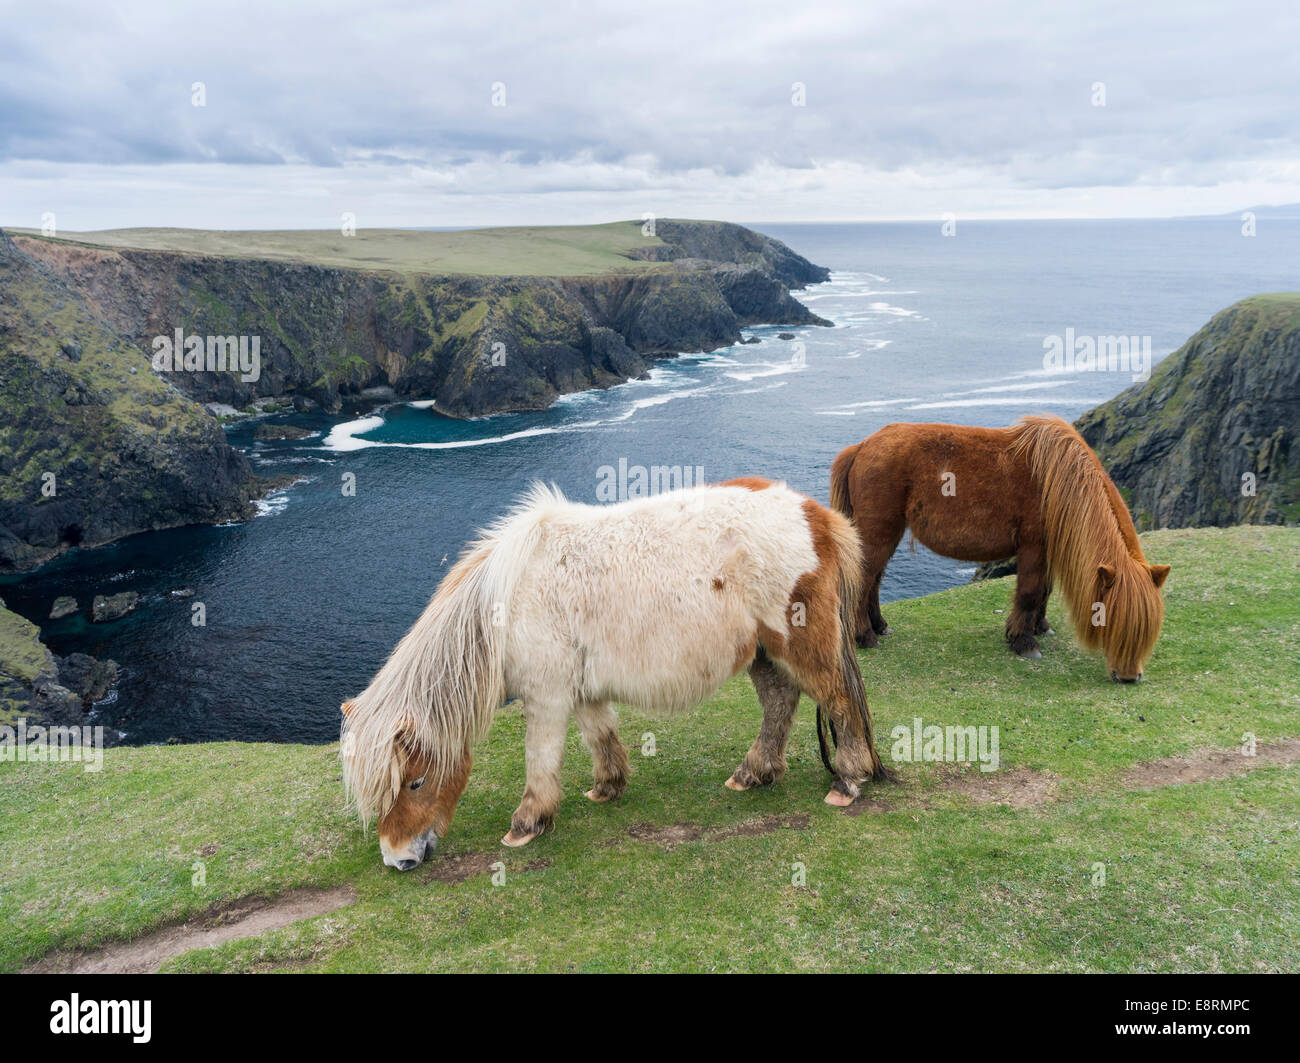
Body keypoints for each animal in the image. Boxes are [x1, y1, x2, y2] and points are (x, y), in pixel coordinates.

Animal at [340, 478, 887, 870]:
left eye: (415, 783)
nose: (397, 859)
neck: (506, 602)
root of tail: (818, 517)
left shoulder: (546, 697)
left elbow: (540, 759)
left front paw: (527, 822)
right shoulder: (580, 691)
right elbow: (600, 735)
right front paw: (607, 786)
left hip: (801, 646)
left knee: (838, 700)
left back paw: (847, 781)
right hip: (763, 653)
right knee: (779, 702)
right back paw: (754, 772)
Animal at [830, 415, 1169, 682]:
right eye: (1116, 620)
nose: (1129, 677)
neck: (1058, 478)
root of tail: (862, 447)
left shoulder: (1045, 552)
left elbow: (1043, 591)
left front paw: (1040, 627)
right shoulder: (1033, 547)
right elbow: (1030, 593)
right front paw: (1024, 642)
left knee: (874, 580)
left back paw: (879, 626)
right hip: (880, 532)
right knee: (866, 579)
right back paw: (864, 636)